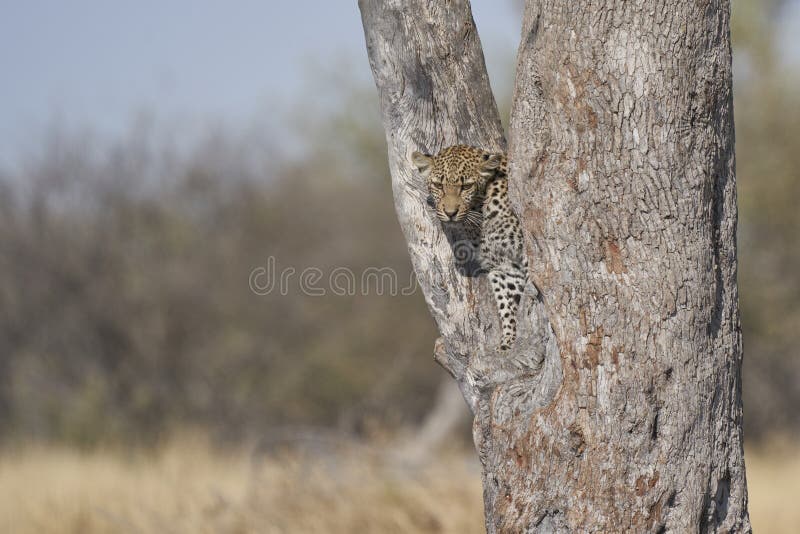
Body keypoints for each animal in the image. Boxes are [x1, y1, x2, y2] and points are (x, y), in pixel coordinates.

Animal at [411, 145, 530, 351]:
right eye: (439, 185)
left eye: (466, 186)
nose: (450, 213)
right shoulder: (503, 266)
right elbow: (507, 304)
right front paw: (507, 342)